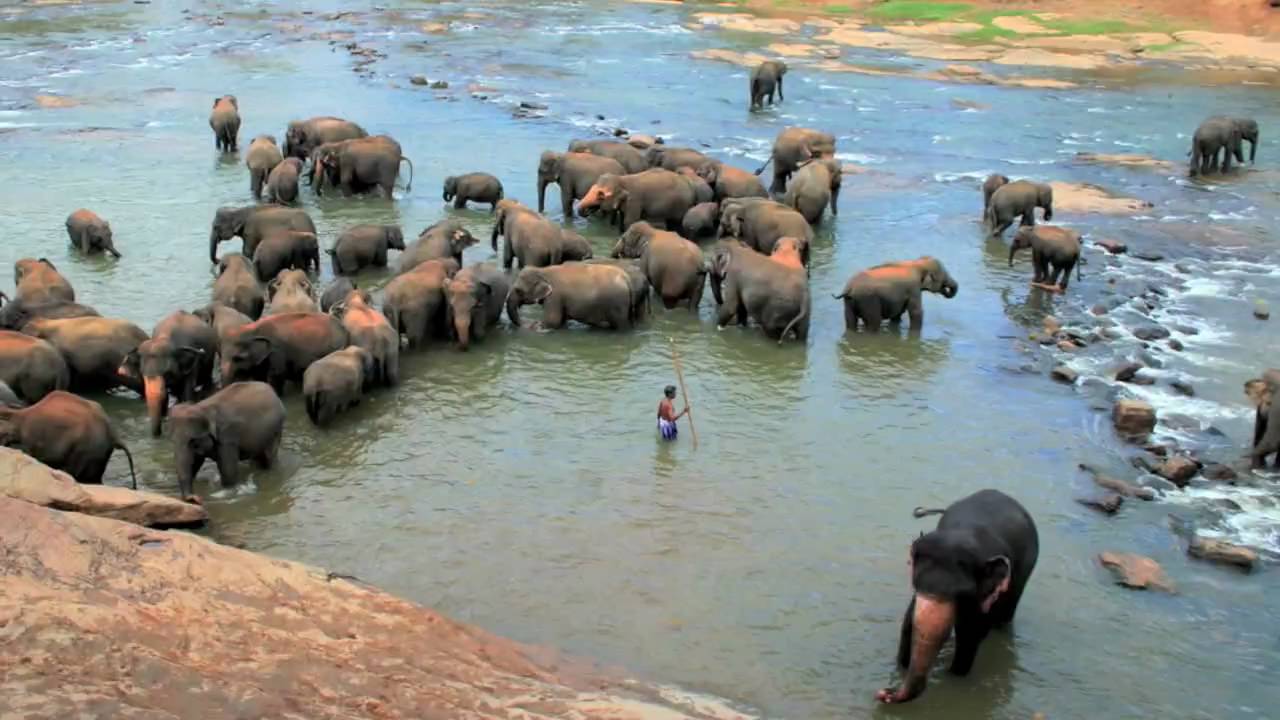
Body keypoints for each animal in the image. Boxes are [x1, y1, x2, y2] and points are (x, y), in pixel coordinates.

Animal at [220, 313, 348, 395]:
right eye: (220, 355)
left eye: (237, 358)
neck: (251, 329)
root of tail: (343, 327)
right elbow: (260, 377)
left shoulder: (277, 353)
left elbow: (276, 376)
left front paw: (278, 395)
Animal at [876, 489, 1038, 705]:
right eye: (916, 584)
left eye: (962, 594)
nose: (885, 692)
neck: (964, 535)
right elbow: (908, 623)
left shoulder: (984, 596)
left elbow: (969, 635)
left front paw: (952, 677)